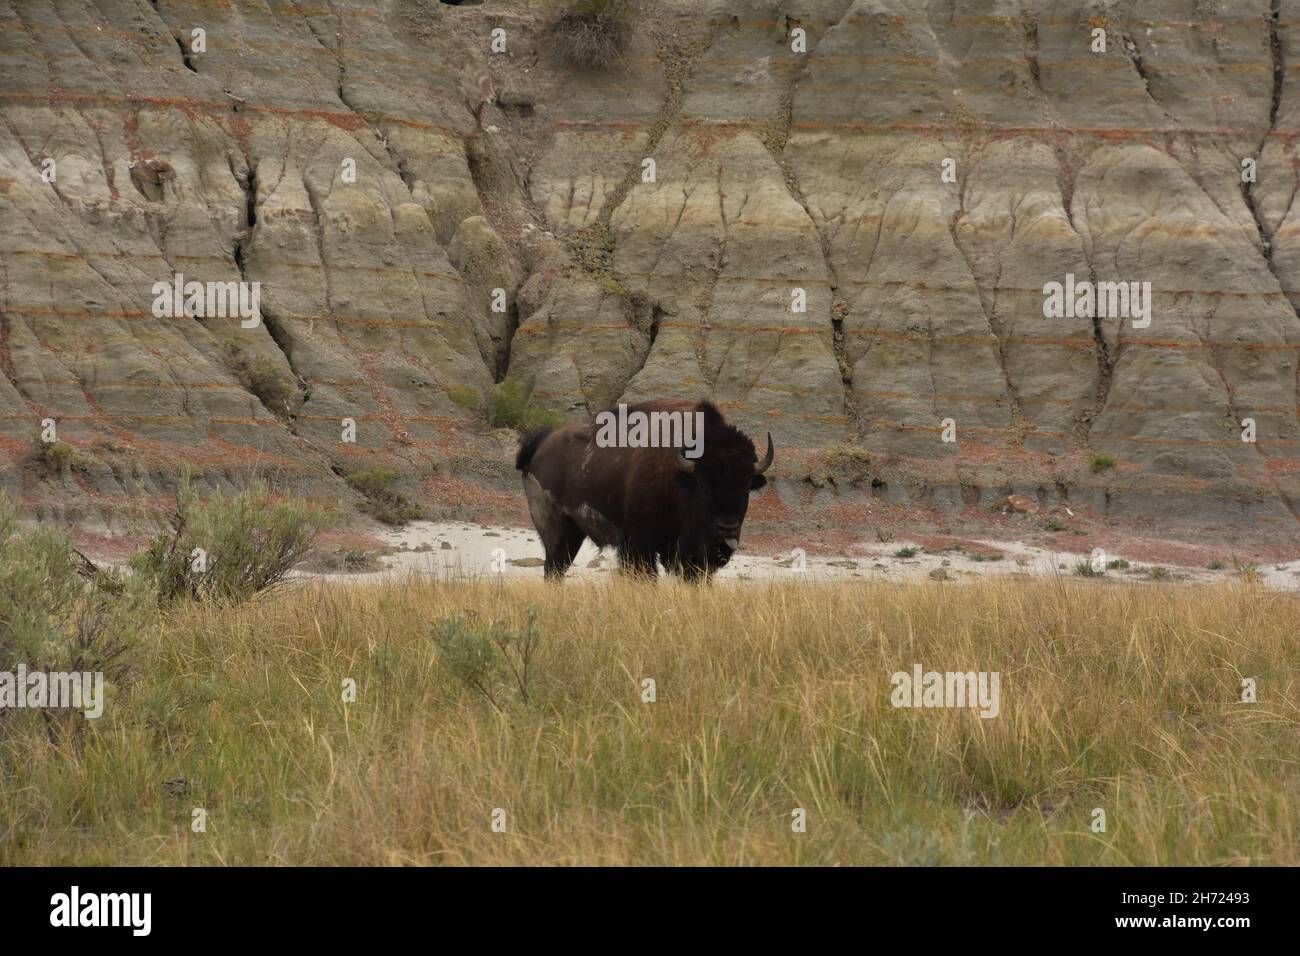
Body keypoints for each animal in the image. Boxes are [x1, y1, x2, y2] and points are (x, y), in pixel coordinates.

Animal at [515, 399, 774, 580]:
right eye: (702, 483)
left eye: (747, 486)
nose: (727, 527)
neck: (678, 479)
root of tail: (543, 442)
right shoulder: (639, 546)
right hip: (557, 531)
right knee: (554, 568)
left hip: (574, 532)